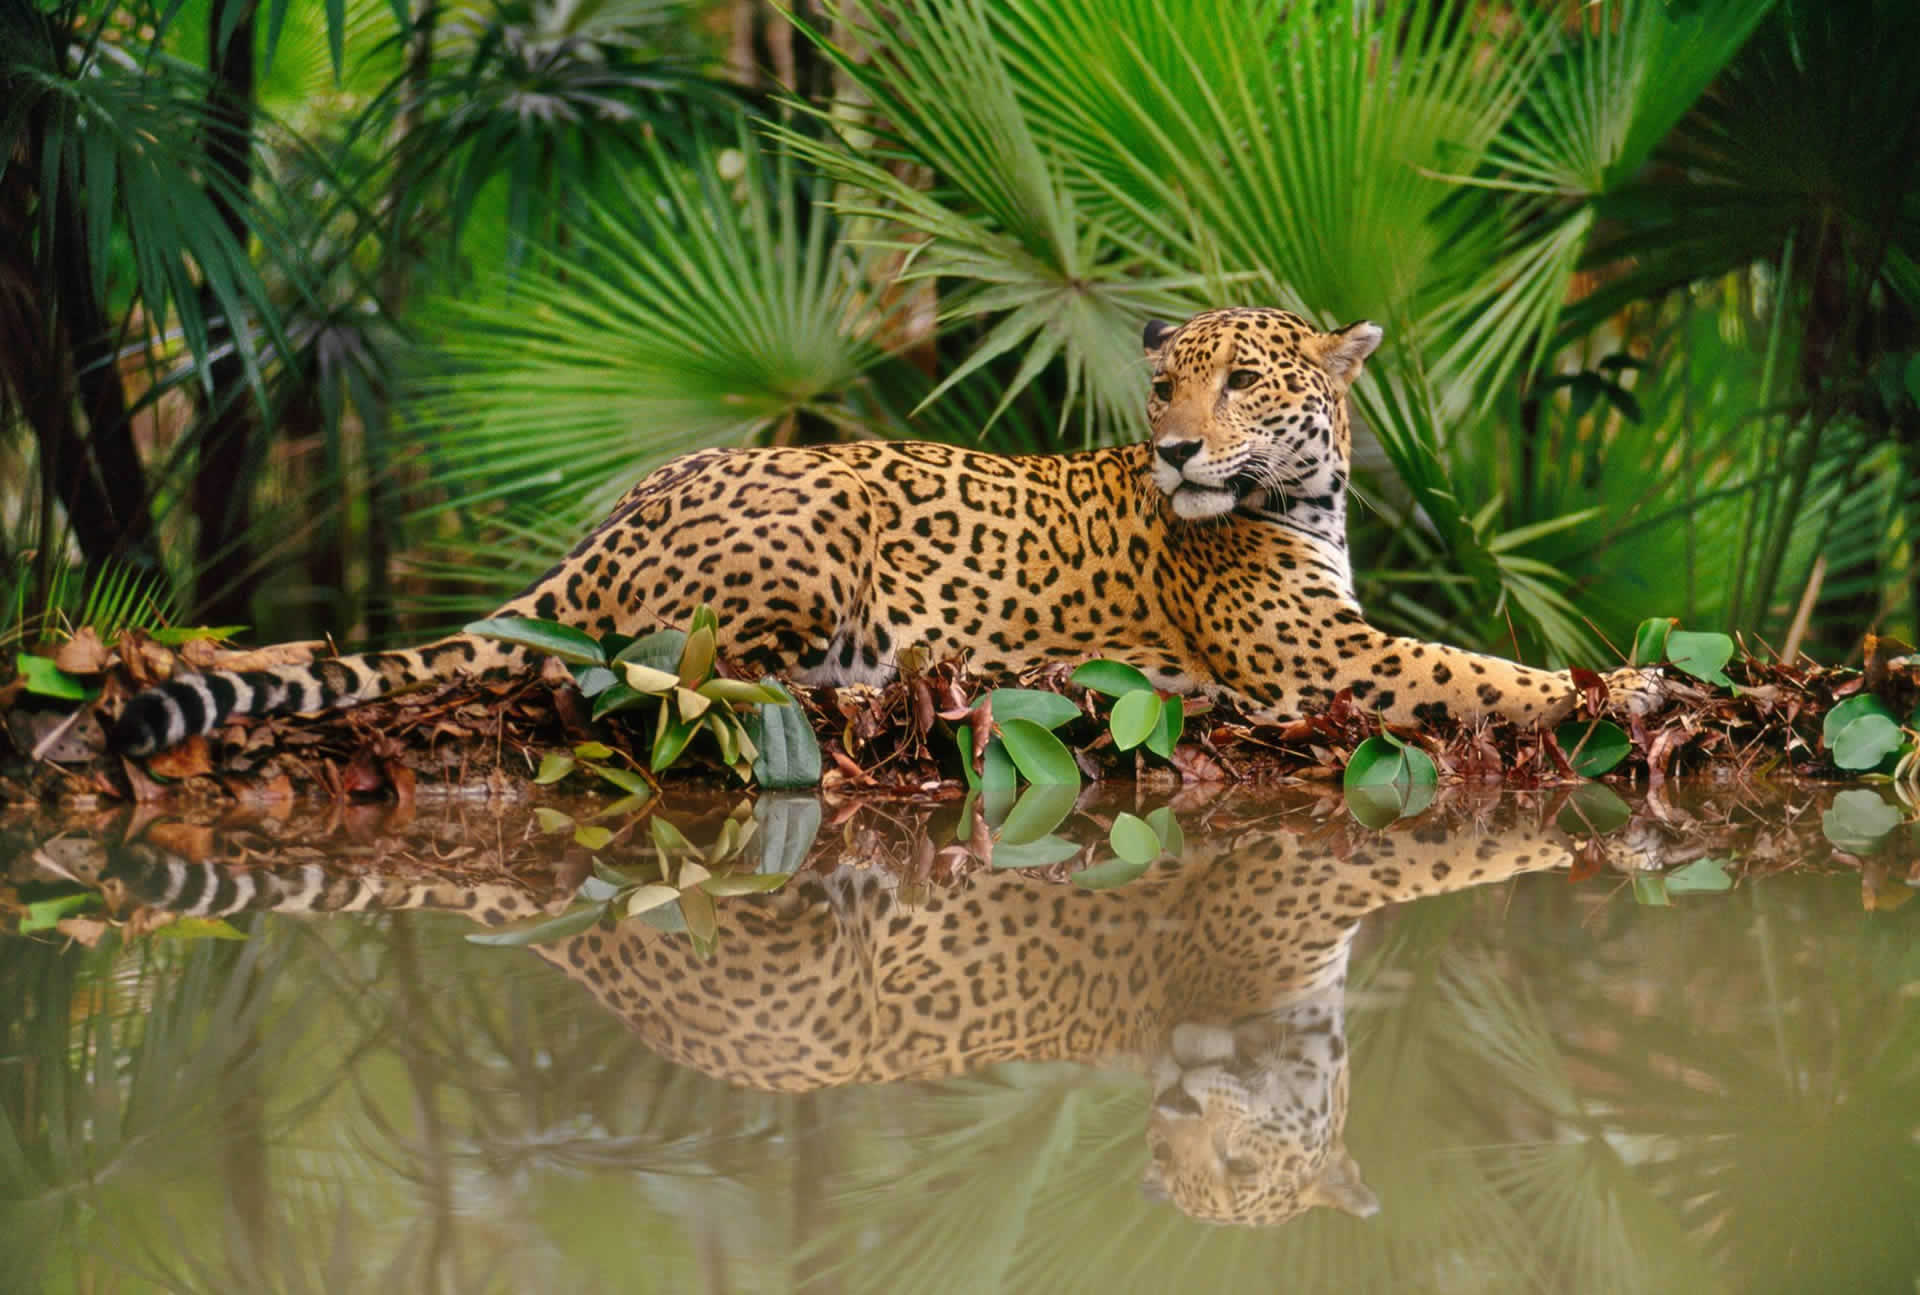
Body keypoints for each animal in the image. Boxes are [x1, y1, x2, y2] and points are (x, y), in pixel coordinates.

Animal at [112, 305, 1654, 755]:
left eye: (1244, 385)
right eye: (1168, 384)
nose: (1174, 447)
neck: (1309, 497)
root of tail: (605, 527)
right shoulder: (1327, 656)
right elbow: (1484, 670)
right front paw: (1634, 682)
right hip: (817, 518)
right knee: (653, 672)